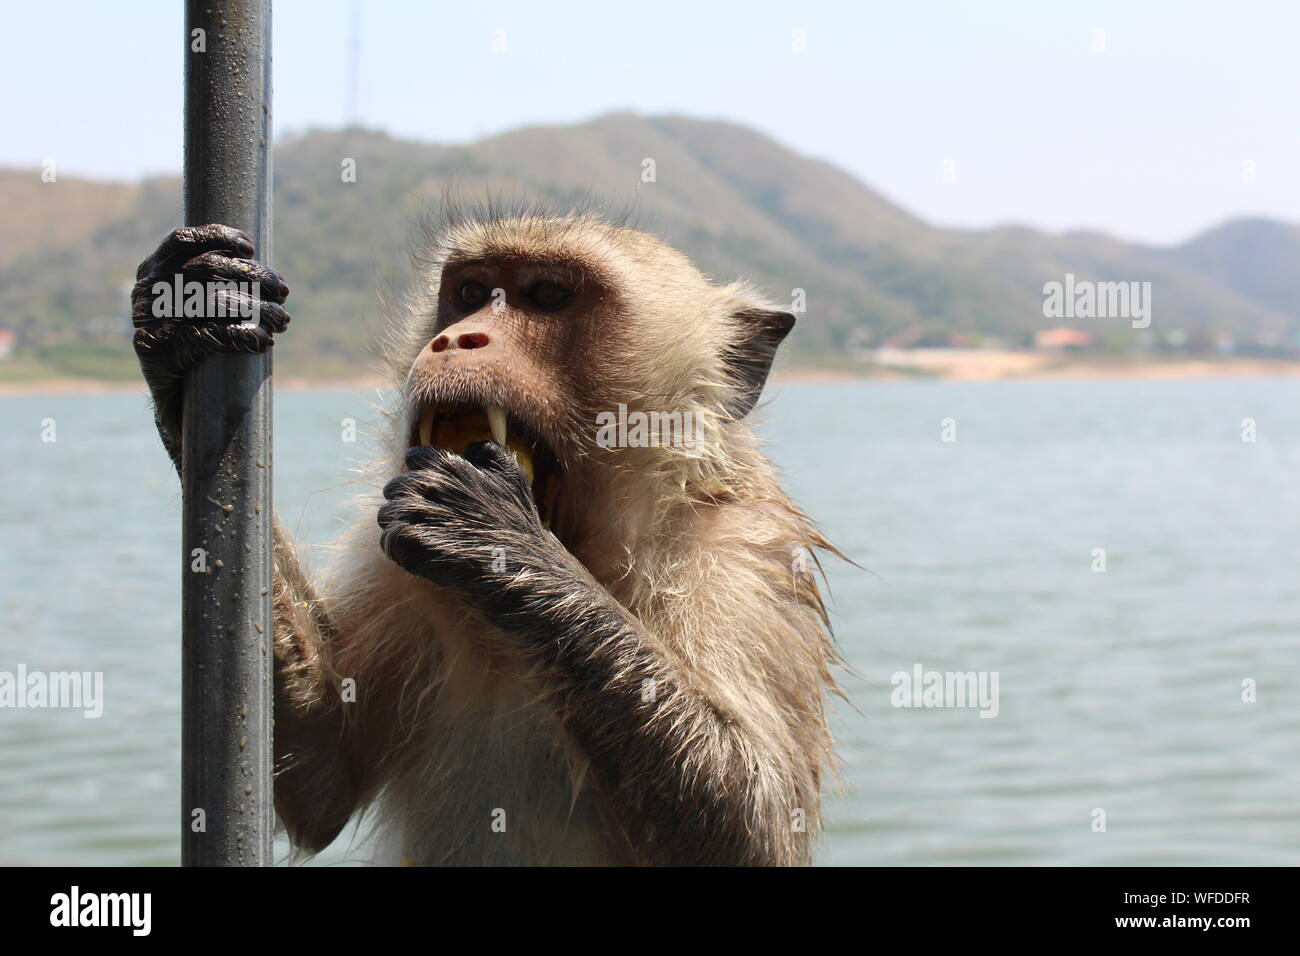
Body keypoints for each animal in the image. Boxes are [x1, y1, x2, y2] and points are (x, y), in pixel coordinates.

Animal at [131, 206, 840, 866]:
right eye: (471, 292)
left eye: (548, 296)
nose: (458, 338)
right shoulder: (391, 558)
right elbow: (324, 776)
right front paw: (185, 307)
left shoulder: (741, 557)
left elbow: (754, 828)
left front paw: (495, 537)